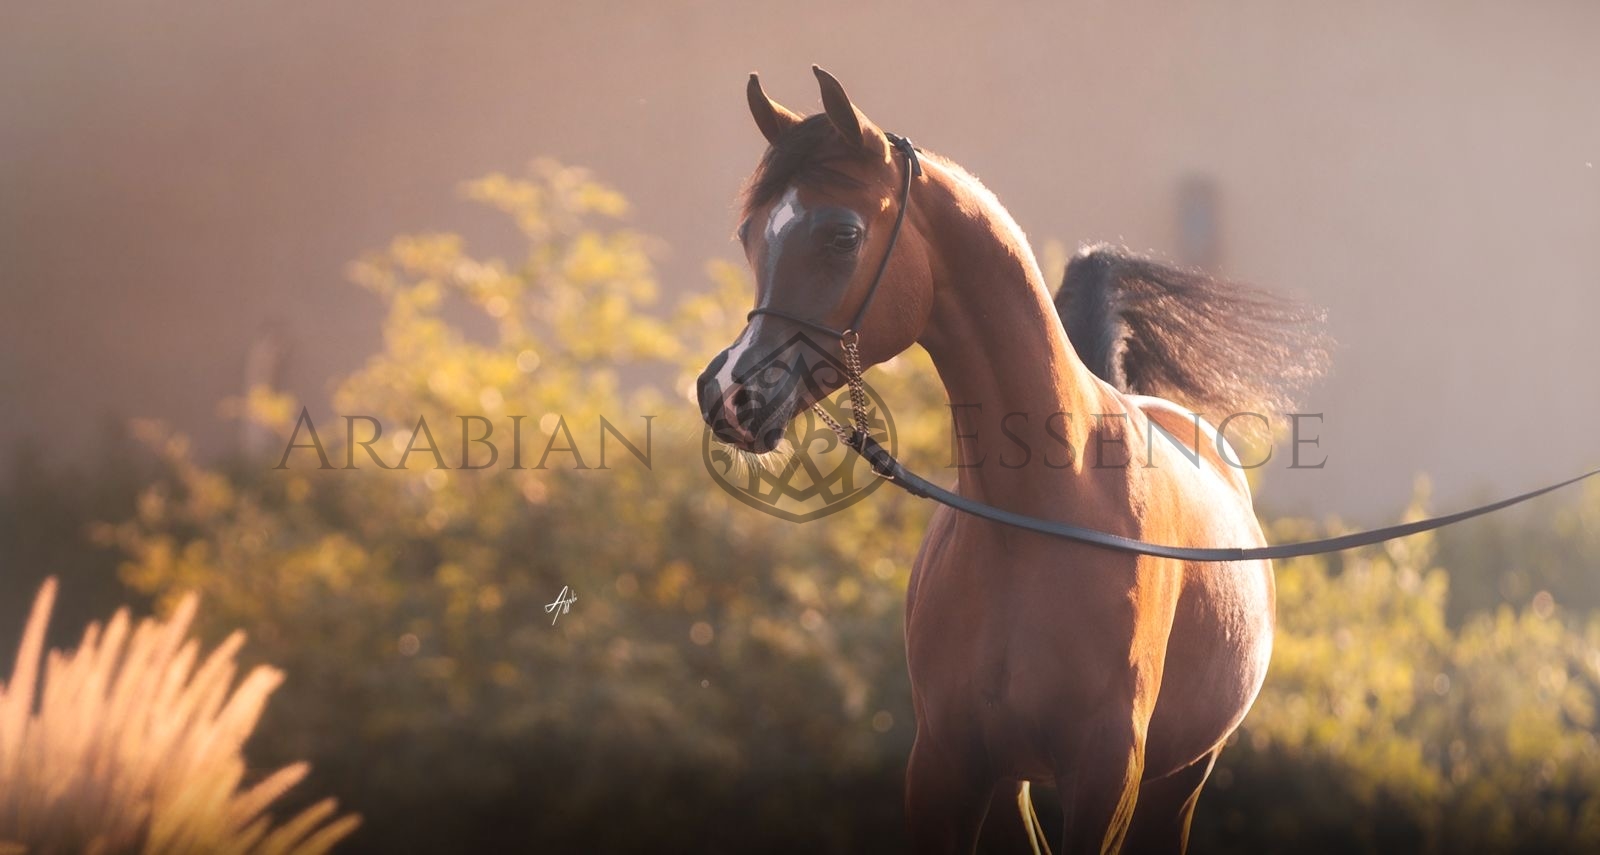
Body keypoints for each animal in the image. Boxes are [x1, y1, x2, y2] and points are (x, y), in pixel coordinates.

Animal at [696, 66, 1328, 854]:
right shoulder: (948, 765)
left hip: (1181, 777)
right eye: (750, 233)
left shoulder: (1104, 776)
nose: (728, 392)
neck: (1041, 517)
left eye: (842, 233)